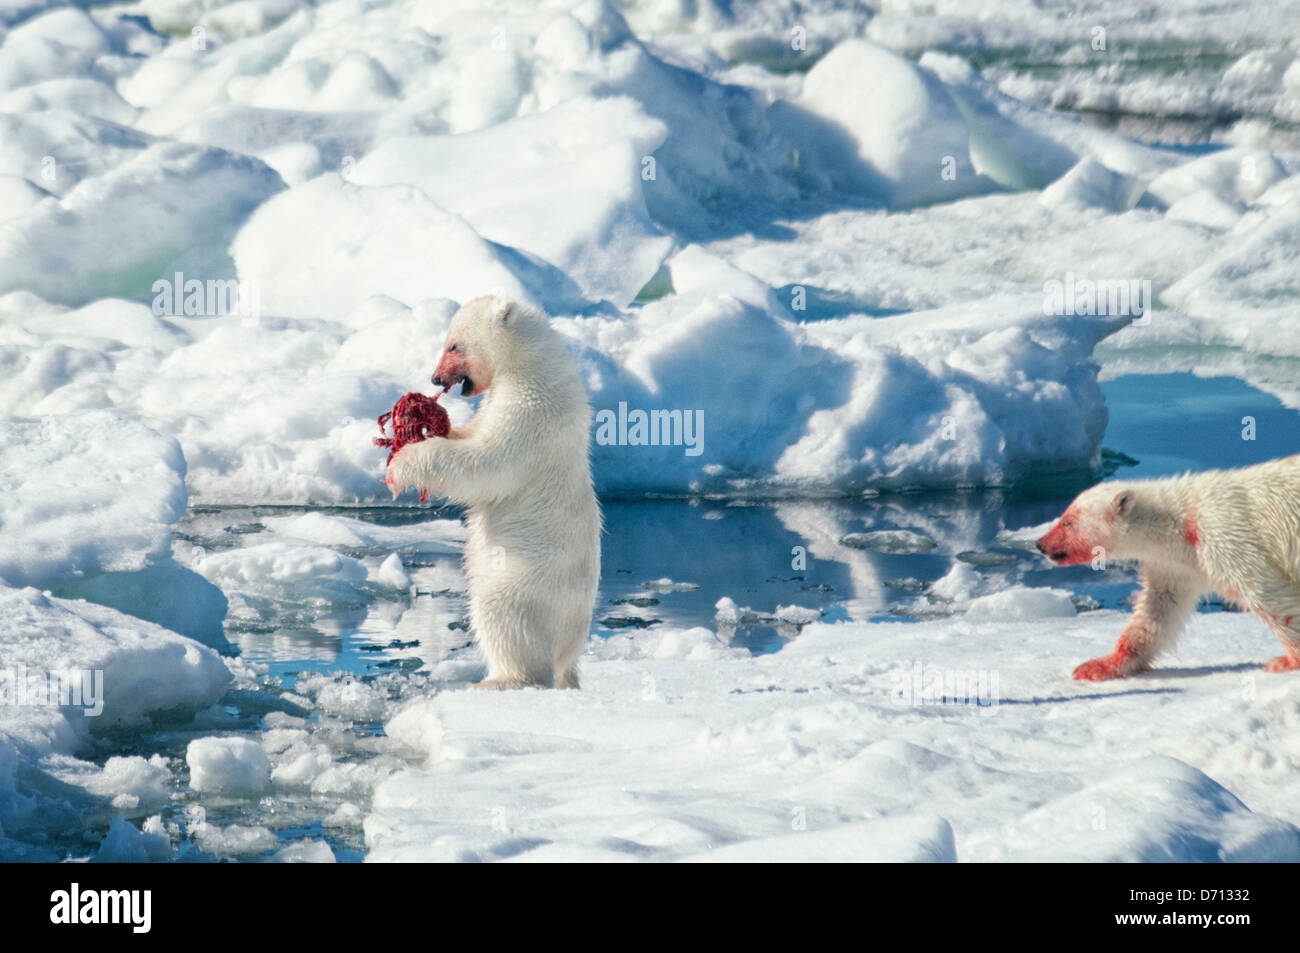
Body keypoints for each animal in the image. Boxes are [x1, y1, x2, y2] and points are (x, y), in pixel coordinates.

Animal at [385, 296, 601, 690]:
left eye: (453, 345)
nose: (435, 379)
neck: (531, 363)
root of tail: (569, 653)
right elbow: (472, 433)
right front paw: (428, 423)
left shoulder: (531, 409)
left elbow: (487, 463)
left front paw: (404, 463)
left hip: (525, 582)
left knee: (500, 613)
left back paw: (499, 679)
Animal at [1037, 455, 1300, 680]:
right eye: (1064, 515)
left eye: (1067, 521)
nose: (1040, 543)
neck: (1182, 521)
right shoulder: (1176, 564)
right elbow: (1159, 608)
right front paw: (1096, 666)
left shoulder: (1224, 537)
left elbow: (1263, 592)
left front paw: (1286, 661)